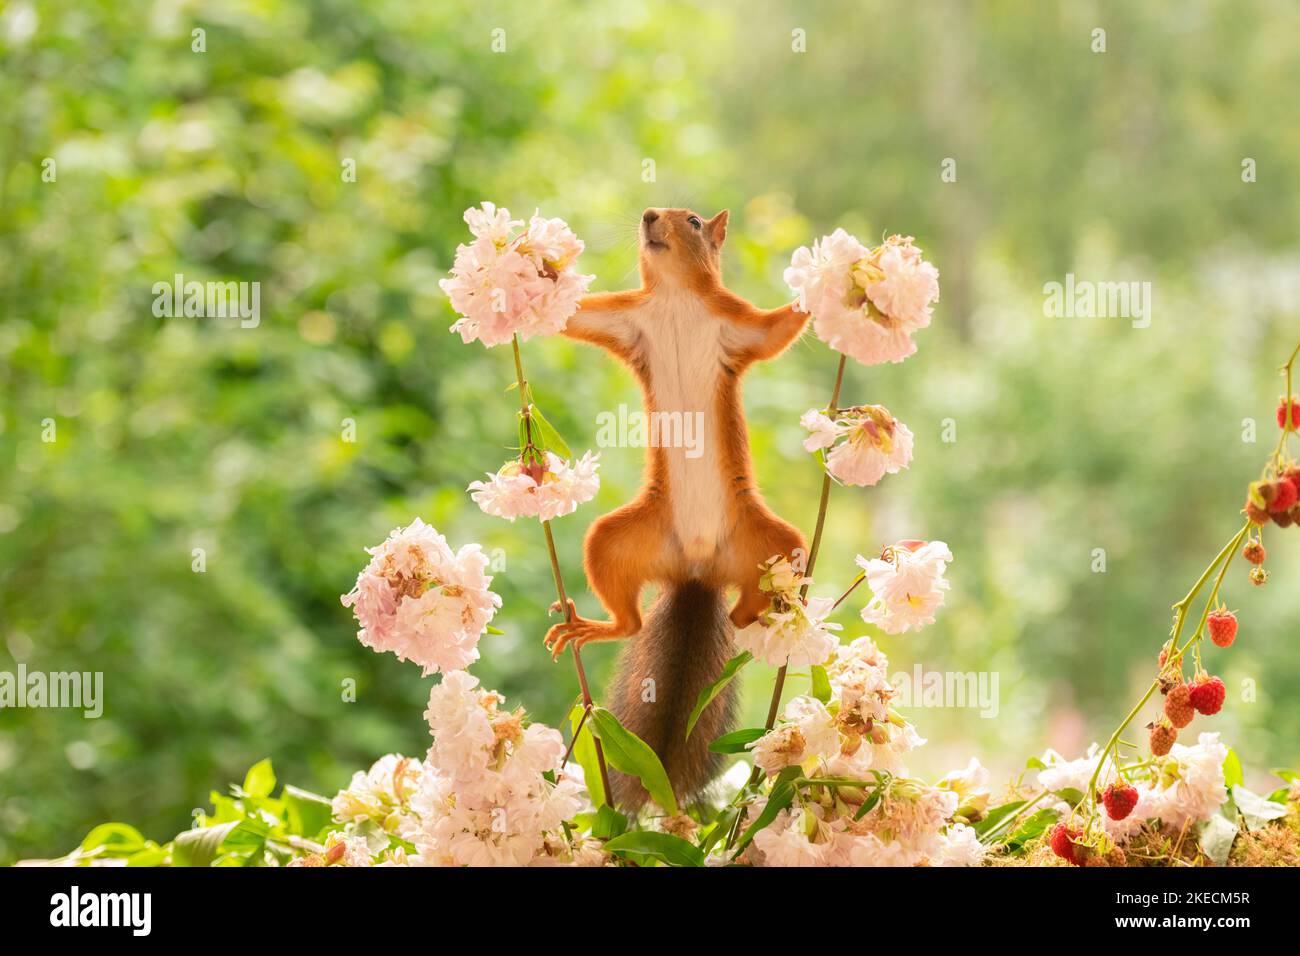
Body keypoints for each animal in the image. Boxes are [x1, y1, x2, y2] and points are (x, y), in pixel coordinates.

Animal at [545, 207, 810, 810]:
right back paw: (593, 626)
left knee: (747, 607)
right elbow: (573, 318)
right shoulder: (626, 319)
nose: (648, 216)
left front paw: (827, 287)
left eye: (691, 219)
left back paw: (772, 616)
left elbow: (778, 331)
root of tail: (698, 572)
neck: (675, 296)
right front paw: (538, 275)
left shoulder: (737, 322)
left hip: (775, 545)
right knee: (634, 621)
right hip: (616, 539)